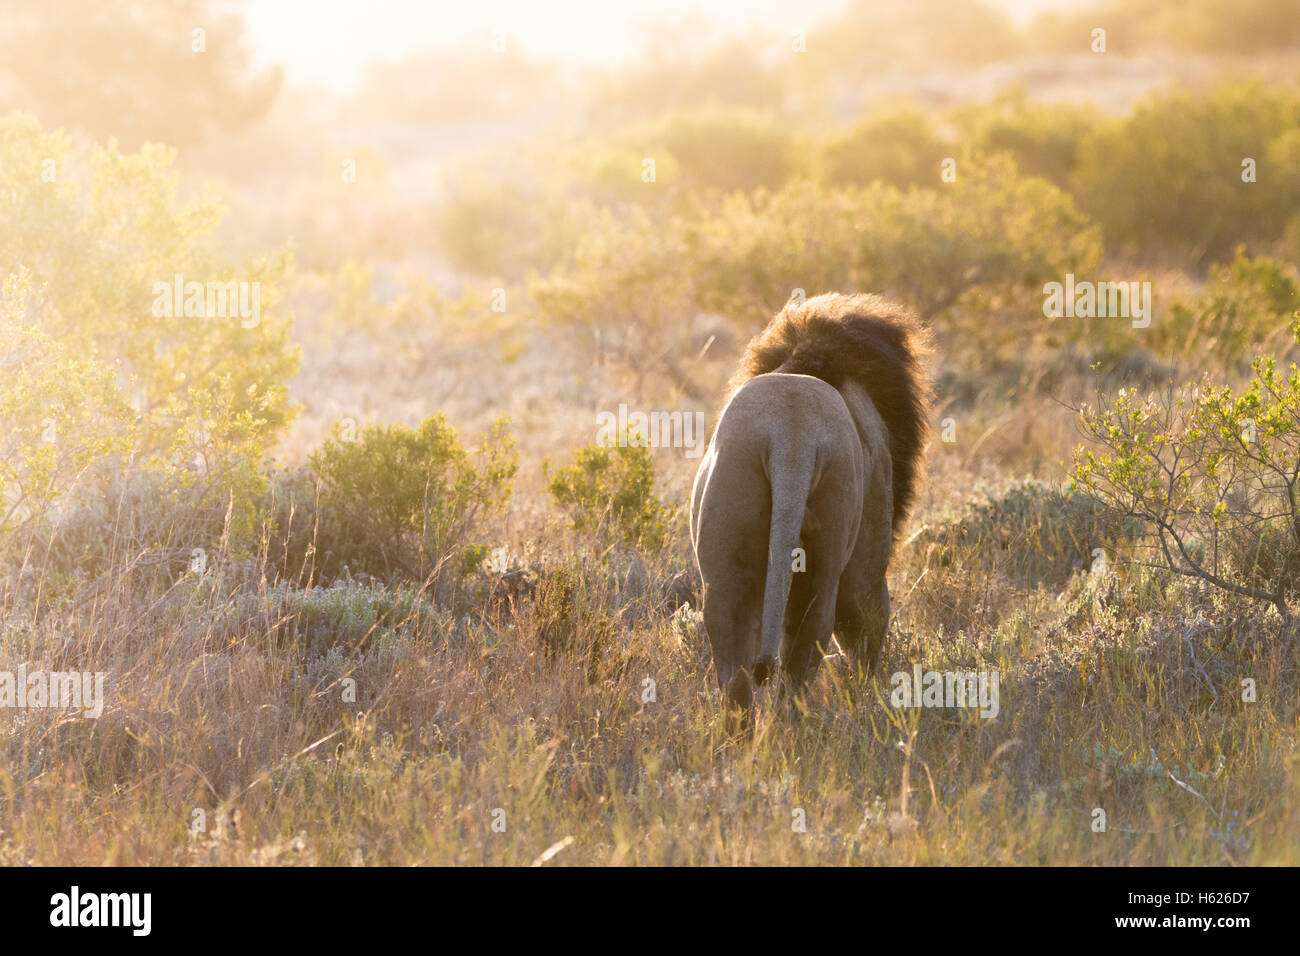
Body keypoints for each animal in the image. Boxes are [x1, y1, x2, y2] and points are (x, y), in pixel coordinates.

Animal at [689, 293, 931, 721]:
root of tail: (790, 435)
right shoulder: (868, 557)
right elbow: (867, 622)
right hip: (832, 547)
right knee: (812, 645)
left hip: (726, 550)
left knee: (736, 669)